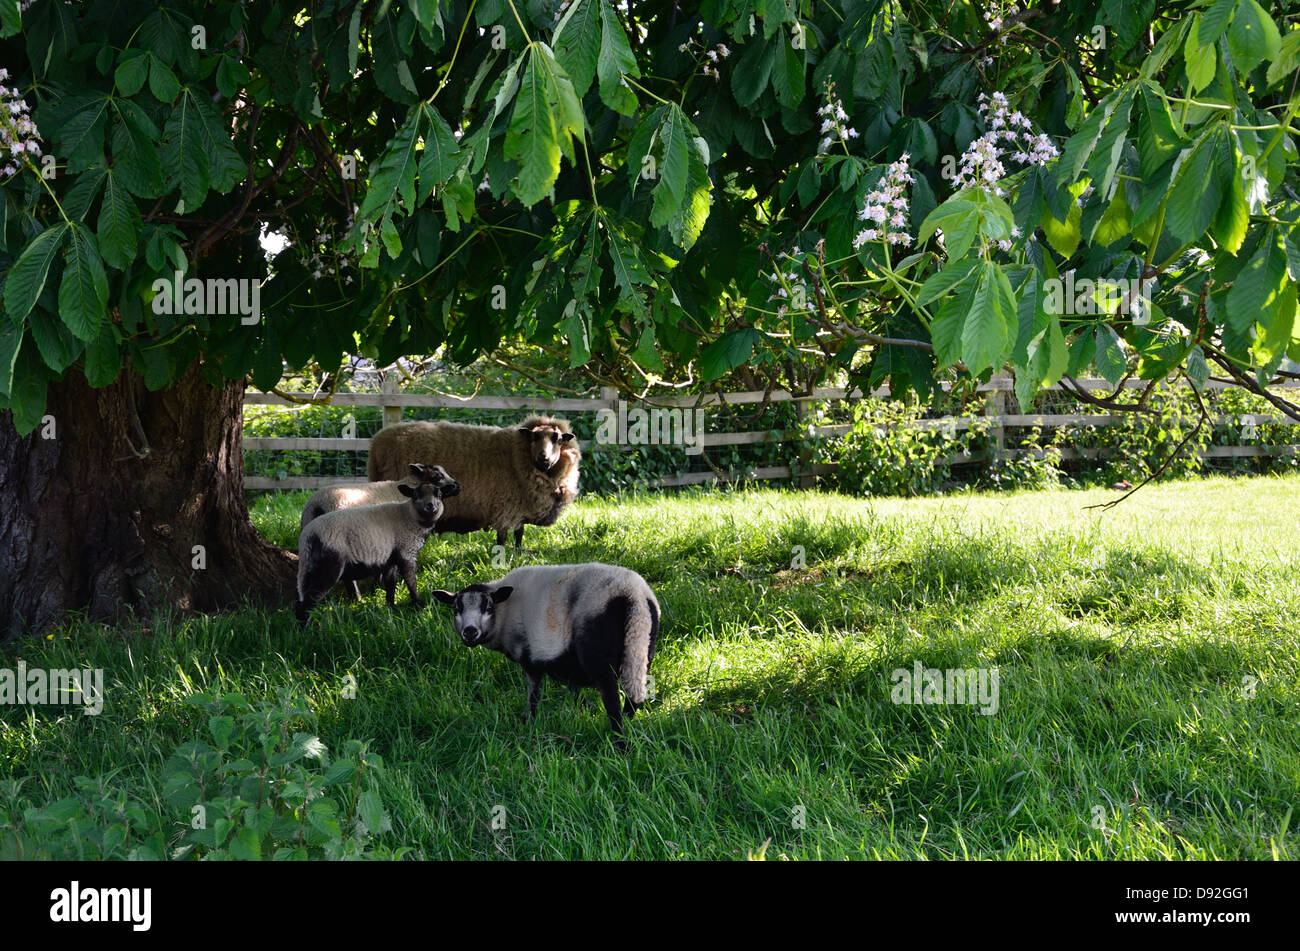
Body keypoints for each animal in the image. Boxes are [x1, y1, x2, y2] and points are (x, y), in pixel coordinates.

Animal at [295, 469, 460, 625]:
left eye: (439, 495)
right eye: (416, 496)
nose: (430, 506)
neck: (410, 517)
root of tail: (307, 535)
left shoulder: (390, 560)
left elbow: (390, 585)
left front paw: (391, 609)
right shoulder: (406, 553)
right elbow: (411, 582)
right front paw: (419, 606)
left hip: (312, 567)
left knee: (301, 598)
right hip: (329, 566)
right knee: (309, 600)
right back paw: (306, 629)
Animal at [367, 415, 580, 549]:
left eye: (558, 440)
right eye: (534, 437)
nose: (544, 457)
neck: (518, 457)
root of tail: (377, 442)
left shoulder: (519, 508)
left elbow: (519, 535)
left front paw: (518, 554)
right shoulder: (506, 507)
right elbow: (503, 538)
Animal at [432, 563, 660, 745]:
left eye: (488, 607)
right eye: (456, 609)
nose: (470, 632)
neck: (504, 615)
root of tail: (633, 594)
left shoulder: (530, 658)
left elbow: (534, 693)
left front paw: (528, 721)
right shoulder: (563, 661)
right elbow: (572, 686)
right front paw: (585, 708)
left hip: (597, 653)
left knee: (612, 697)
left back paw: (619, 741)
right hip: (642, 647)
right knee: (634, 692)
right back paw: (628, 723)